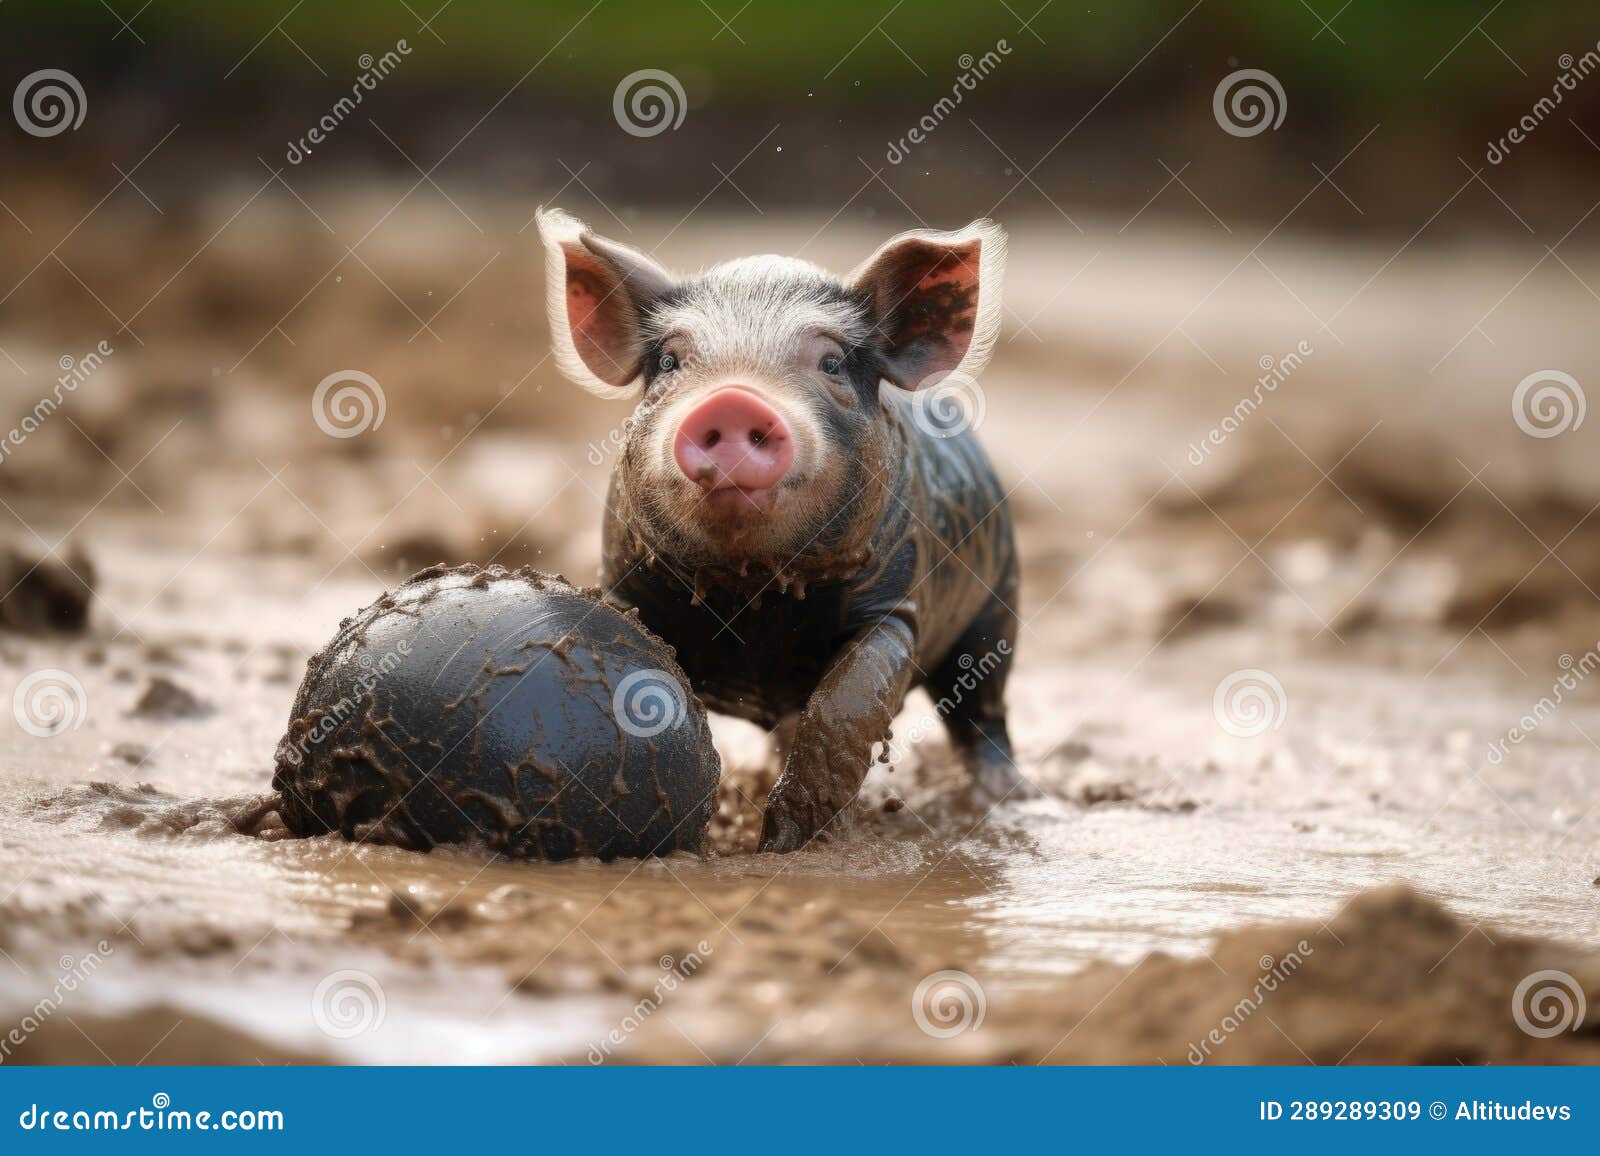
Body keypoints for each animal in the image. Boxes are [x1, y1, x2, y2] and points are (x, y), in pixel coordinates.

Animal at [537, 208, 1037, 852]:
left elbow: (845, 704)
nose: (732, 399)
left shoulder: (896, 605)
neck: (755, 598)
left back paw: (1013, 799)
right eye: (670, 362)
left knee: (984, 710)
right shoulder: (626, 584)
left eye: (830, 363)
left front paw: (785, 846)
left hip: (998, 604)